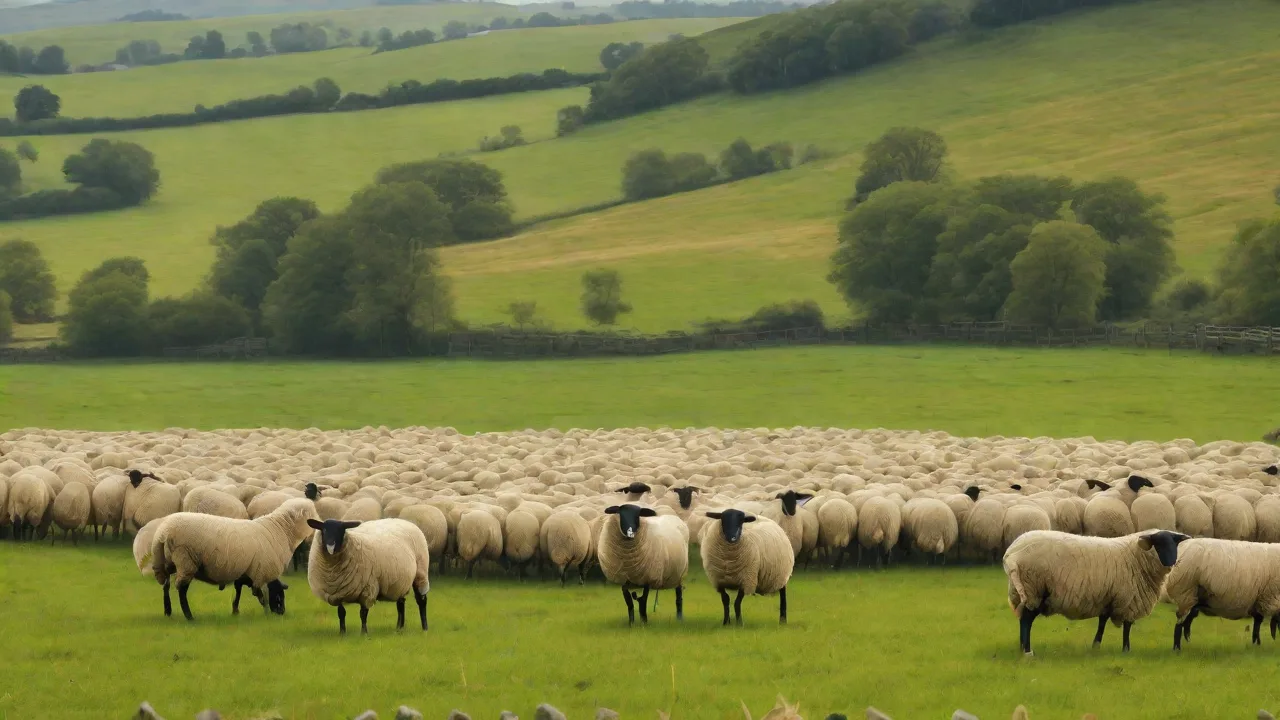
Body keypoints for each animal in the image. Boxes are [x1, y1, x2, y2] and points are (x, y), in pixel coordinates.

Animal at [150, 498, 319, 620]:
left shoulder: (245, 571)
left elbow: (238, 591)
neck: (280, 530)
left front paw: (235, 610)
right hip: (186, 560)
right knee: (182, 589)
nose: (281, 612)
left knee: (165, 585)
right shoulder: (261, 571)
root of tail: (163, 533)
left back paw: (168, 611)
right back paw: (189, 616)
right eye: (278, 595)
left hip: (165, 562)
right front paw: (266, 613)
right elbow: (262, 594)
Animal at [1003, 529, 1189, 655]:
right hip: (1034, 588)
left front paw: (1096, 646)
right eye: (1159, 543)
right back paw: (1027, 651)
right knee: (1027, 619)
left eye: (1175, 543)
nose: (1171, 563)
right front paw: (1126, 649)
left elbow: (1102, 622)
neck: (1137, 555)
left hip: (1024, 591)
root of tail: (1011, 554)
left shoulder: (1107, 597)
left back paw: (1021, 647)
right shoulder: (1129, 599)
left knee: (1023, 618)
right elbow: (1127, 626)